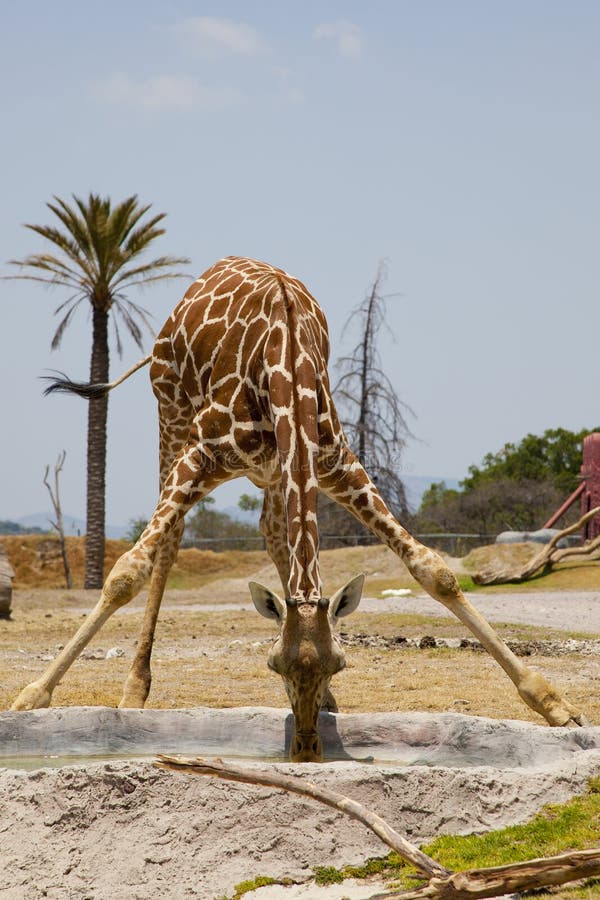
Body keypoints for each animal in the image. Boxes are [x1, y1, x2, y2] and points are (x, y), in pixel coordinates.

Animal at [11, 256, 585, 761]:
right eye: (273, 667)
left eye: (340, 663)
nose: (307, 748)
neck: (283, 361)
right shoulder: (201, 454)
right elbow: (126, 572)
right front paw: (31, 696)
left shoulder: (334, 463)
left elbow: (433, 570)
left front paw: (555, 704)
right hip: (170, 417)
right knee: (169, 544)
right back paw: (134, 689)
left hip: (270, 472)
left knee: (271, 530)